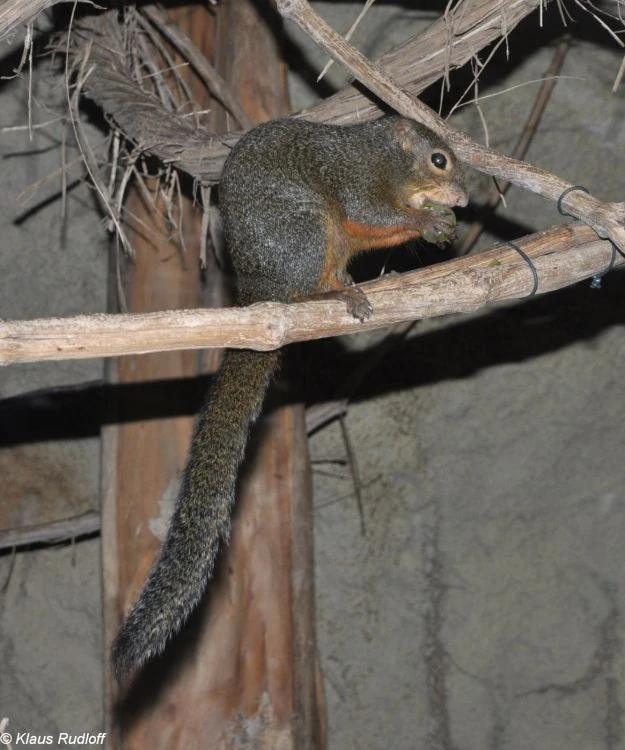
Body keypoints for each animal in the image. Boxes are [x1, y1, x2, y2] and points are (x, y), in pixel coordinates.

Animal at [112, 116, 468, 679]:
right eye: (439, 161)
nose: (463, 194)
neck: (386, 162)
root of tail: (258, 287)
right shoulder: (355, 181)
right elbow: (370, 212)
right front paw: (430, 219)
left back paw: (342, 285)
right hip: (303, 225)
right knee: (301, 286)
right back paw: (326, 294)